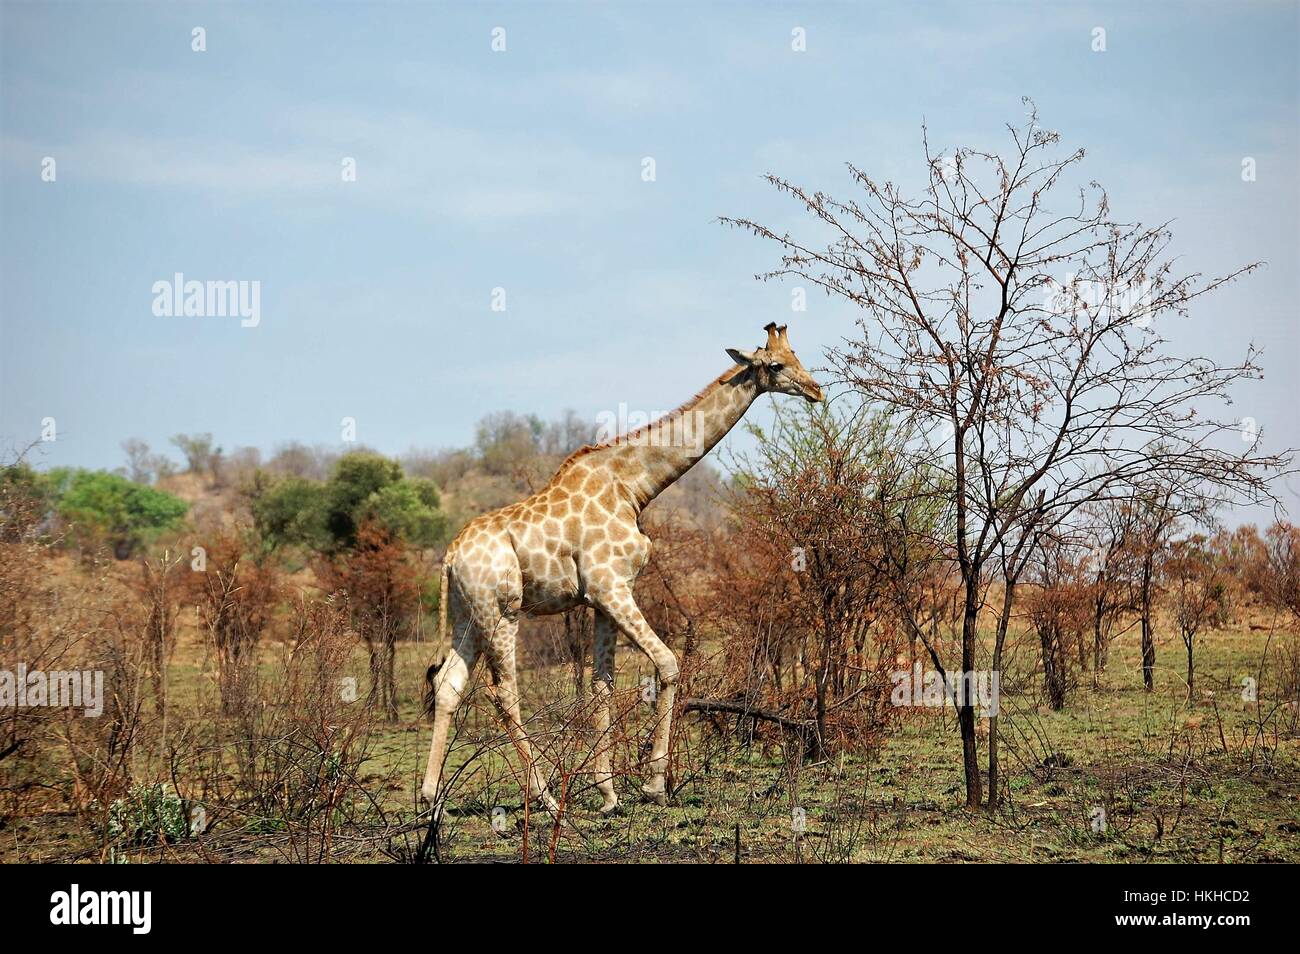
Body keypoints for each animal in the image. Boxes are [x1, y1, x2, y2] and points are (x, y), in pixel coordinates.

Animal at [420, 322, 823, 814]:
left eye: (797, 355)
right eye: (776, 365)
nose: (816, 390)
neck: (634, 486)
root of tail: (449, 557)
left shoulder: (600, 599)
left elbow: (602, 686)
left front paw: (609, 793)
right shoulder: (611, 587)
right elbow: (668, 664)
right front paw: (654, 784)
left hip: (468, 614)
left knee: (449, 685)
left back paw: (431, 799)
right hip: (503, 611)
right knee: (503, 693)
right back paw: (546, 798)